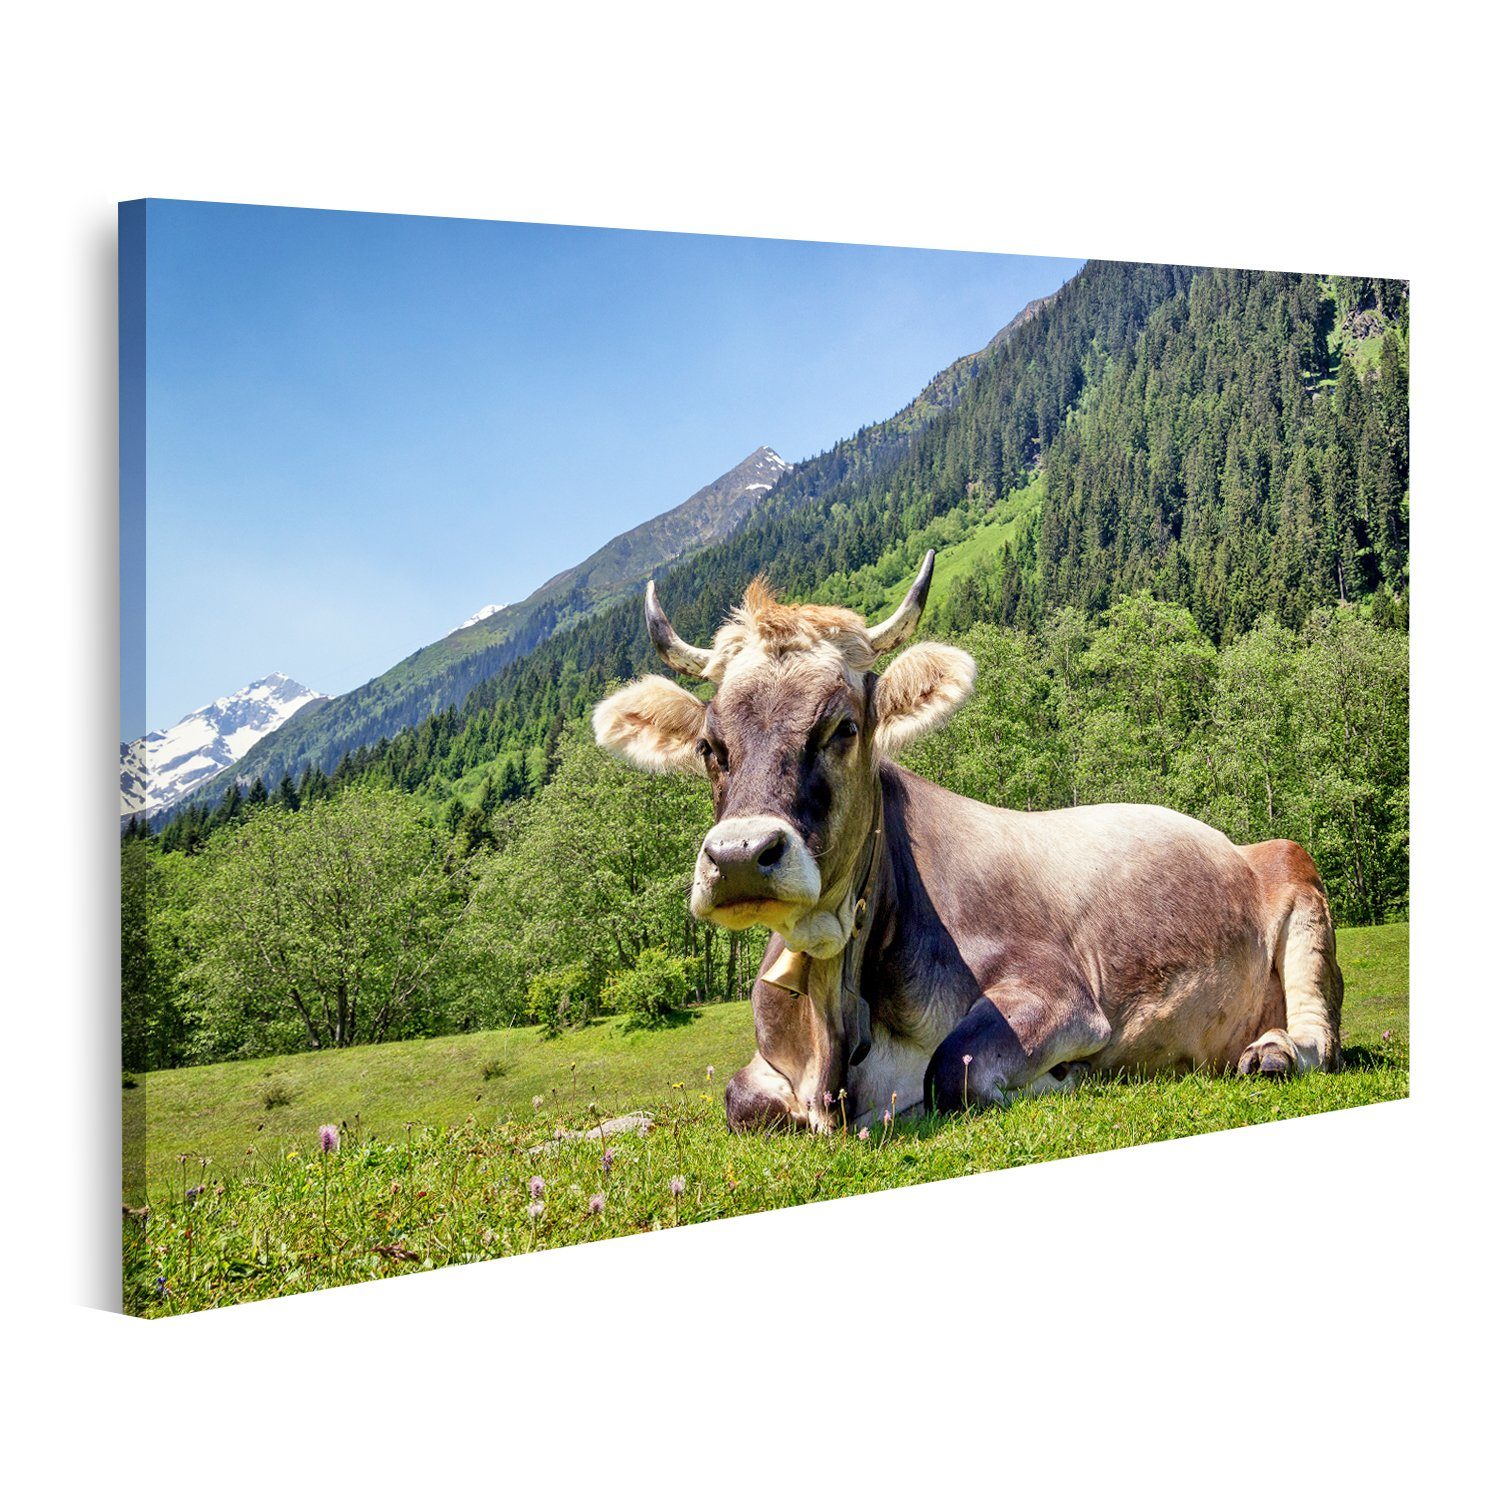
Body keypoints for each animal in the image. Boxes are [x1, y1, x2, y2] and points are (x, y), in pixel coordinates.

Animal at [592, 552, 1343, 1133]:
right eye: (708, 746)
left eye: (843, 727)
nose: (741, 856)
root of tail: (1238, 845)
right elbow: (740, 1099)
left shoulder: (1060, 995)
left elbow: (951, 1073)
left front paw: (1066, 1079)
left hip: (1297, 875)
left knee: (1318, 1033)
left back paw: (1274, 1053)